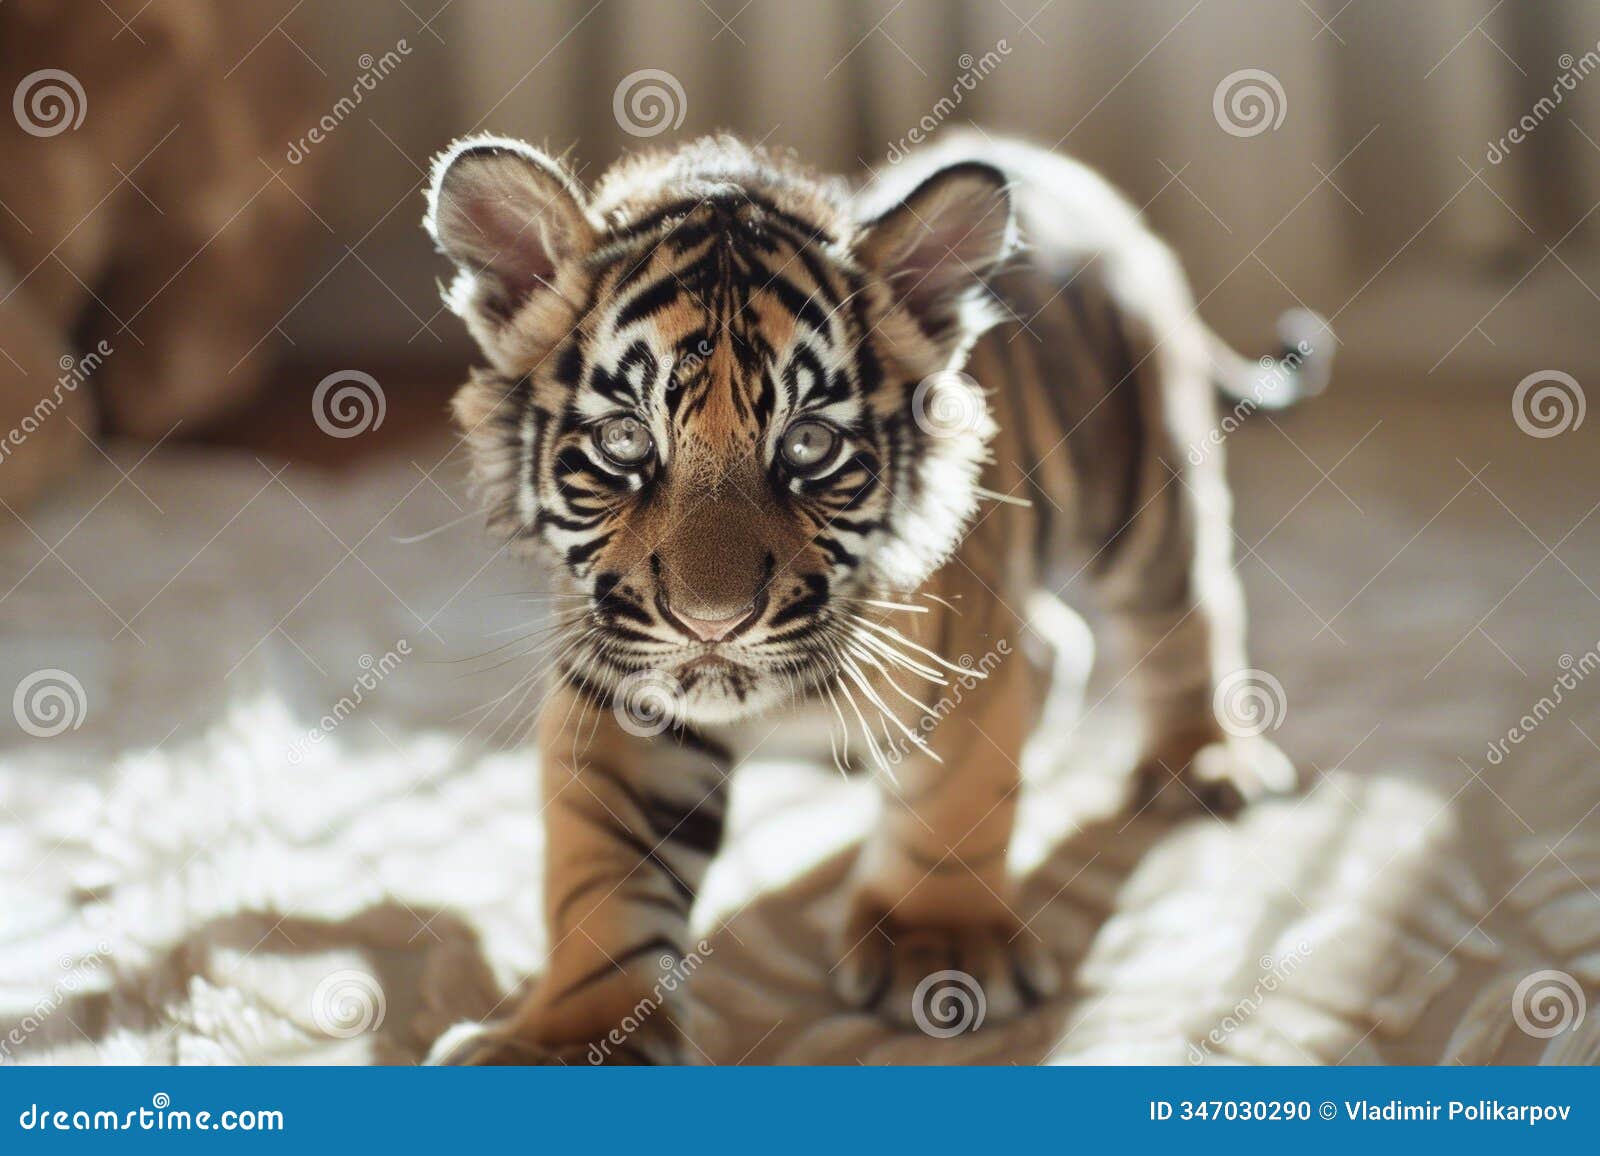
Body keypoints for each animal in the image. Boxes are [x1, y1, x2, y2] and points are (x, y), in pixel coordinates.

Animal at [421, 130, 1329, 1065]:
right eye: (625, 440)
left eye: (810, 445)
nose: (712, 623)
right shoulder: (615, 699)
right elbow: (601, 874)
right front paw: (571, 1037)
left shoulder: (960, 659)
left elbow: (954, 801)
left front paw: (938, 948)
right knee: (1059, 641)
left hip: (1141, 482)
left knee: (1184, 610)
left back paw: (1200, 763)